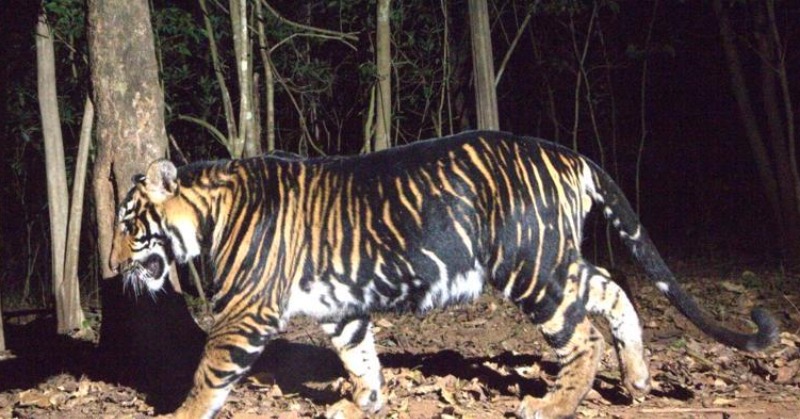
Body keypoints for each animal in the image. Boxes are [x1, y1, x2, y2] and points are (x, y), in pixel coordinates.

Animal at [110, 130, 778, 419]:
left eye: (128, 223)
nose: (111, 266)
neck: (209, 214)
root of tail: (570, 153)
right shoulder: (340, 308)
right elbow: (360, 356)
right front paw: (363, 403)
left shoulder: (246, 311)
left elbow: (208, 374)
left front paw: (179, 417)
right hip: (556, 261)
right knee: (614, 292)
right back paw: (636, 378)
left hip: (530, 269)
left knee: (582, 336)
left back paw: (552, 405)